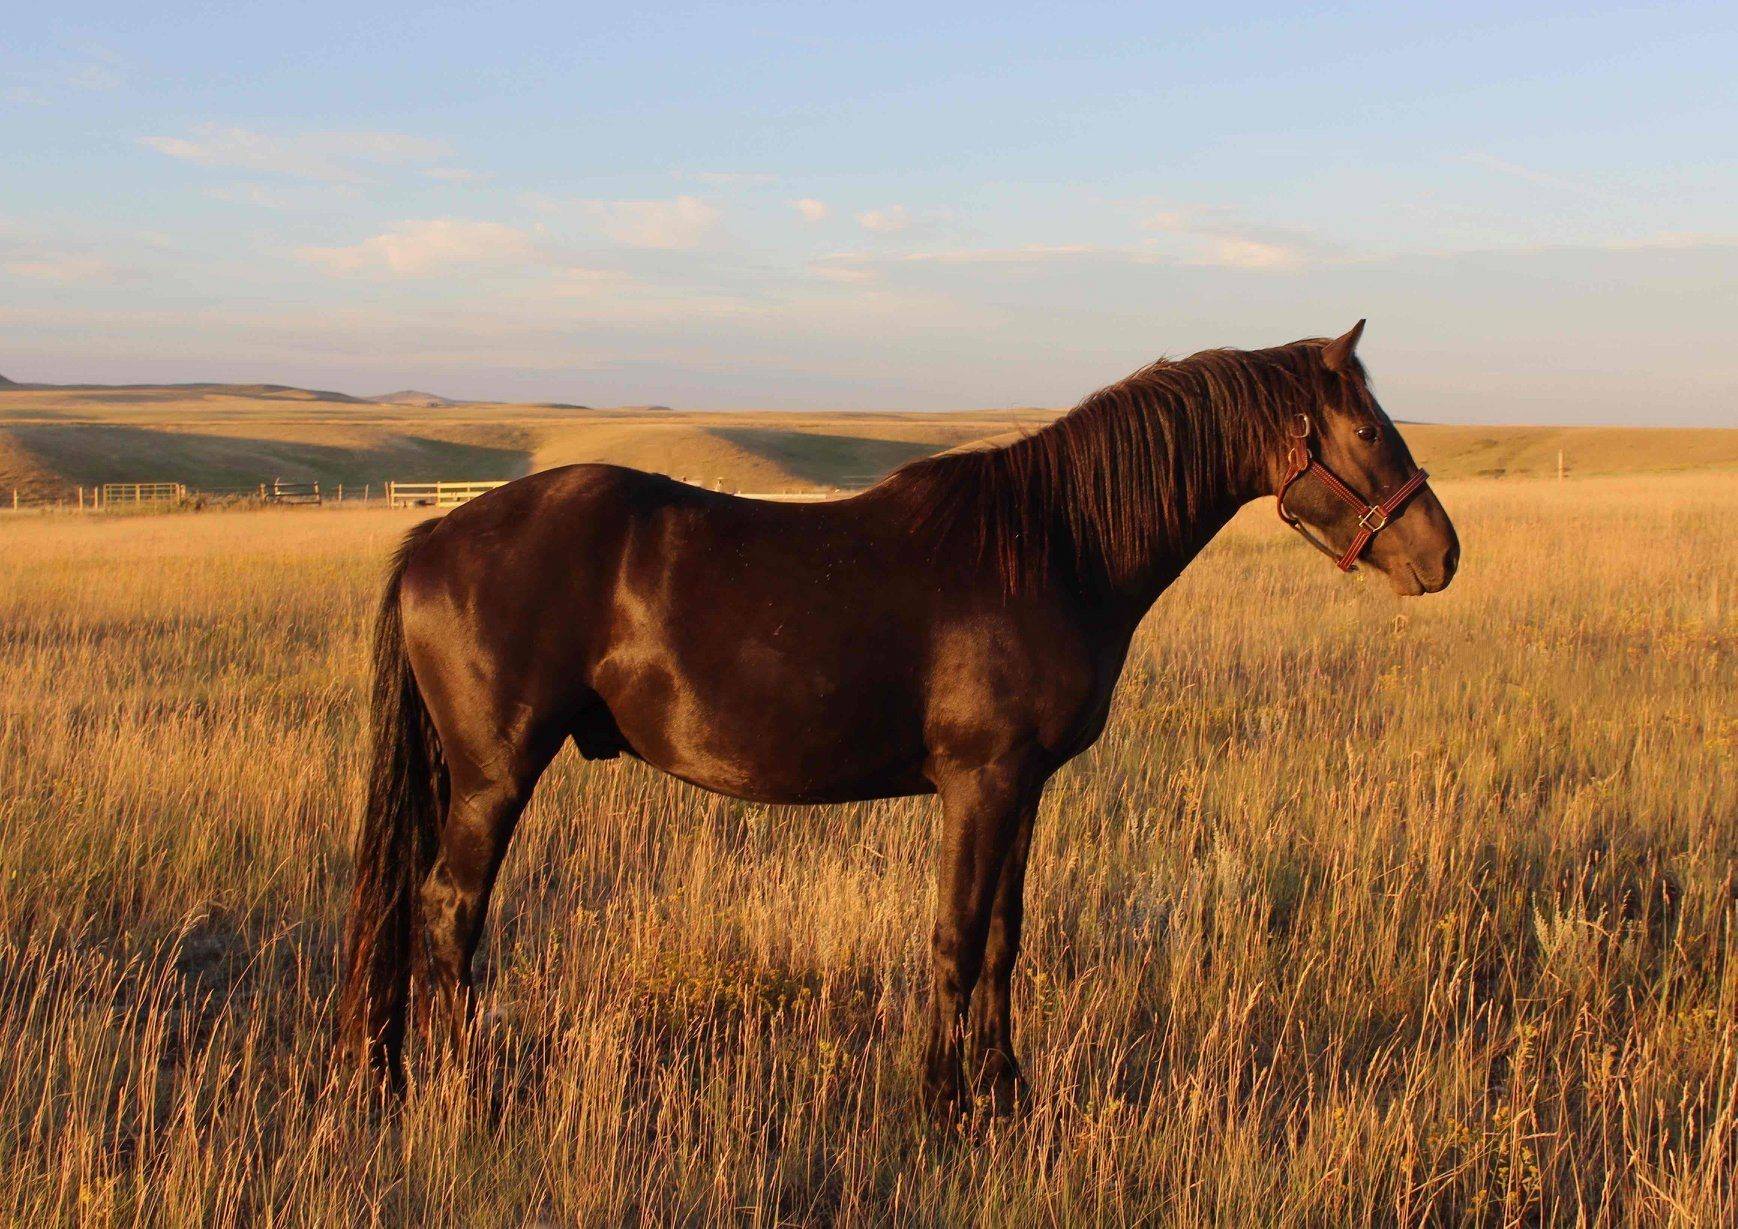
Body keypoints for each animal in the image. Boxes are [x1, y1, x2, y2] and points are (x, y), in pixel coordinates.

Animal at [339, 321, 1459, 1114]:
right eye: (1368, 429)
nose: (1442, 554)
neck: (1055, 545)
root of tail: (436, 533)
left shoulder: (1024, 788)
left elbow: (1004, 936)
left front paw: (1006, 1093)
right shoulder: (979, 781)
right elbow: (955, 938)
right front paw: (942, 1104)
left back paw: (397, 1081)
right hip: (495, 777)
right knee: (449, 916)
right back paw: (468, 1098)